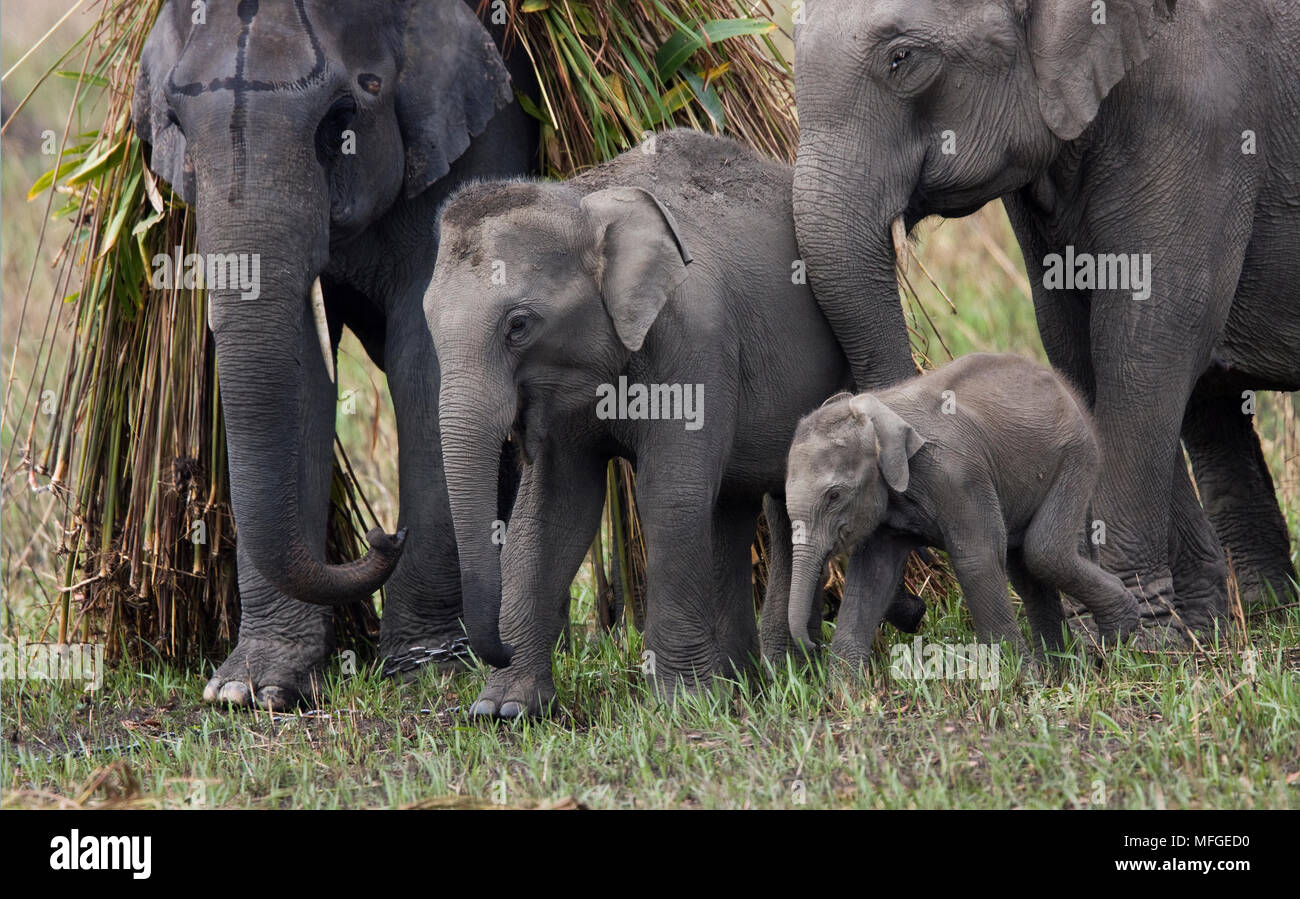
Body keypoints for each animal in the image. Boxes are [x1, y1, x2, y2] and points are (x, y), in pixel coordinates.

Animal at [131, 0, 538, 708]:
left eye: (345, 113)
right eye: (174, 124)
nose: (385, 534)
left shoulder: (484, 135)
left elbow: (428, 363)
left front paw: (426, 670)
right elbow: (297, 376)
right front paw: (247, 692)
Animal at [425, 129, 927, 717]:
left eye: (518, 325)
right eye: (429, 323)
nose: (918, 612)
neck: (585, 202)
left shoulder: (696, 341)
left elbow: (670, 497)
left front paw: (682, 705)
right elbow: (554, 508)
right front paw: (504, 711)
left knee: (779, 504)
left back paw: (781, 675)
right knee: (731, 505)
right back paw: (743, 678)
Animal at [784, 353, 1141, 668]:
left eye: (834, 495)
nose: (813, 646)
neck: (879, 411)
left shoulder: (958, 478)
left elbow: (977, 560)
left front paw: (1020, 682)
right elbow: (872, 576)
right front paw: (847, 692)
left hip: (1077, 455)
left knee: (1044, 551)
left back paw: (1117, 633)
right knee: (1025, 566)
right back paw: (1059, 670)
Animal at [791, 0, 1300, 640]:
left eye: (902, 59)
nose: (915, 609)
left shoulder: (1202, 117)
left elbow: (1149, 343)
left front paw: (1136, 638)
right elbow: (1072, 339)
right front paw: (1163, 632)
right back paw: (1258, 614)